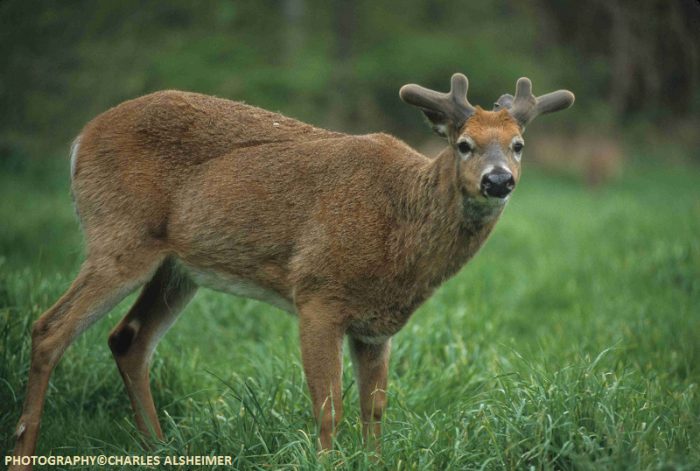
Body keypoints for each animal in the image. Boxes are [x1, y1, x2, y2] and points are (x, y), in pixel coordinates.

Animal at [9, 73, 573, 469]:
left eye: (519, 145)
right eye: (464, 145)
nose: (498, 180)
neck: (400, 228)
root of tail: (81, 138)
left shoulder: (376, 326)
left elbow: (374, 411)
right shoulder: (318, 292)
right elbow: (329, 407)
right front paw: (326, 462)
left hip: (177, 268)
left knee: (128, 339)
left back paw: (160, 450)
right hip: (119, 235)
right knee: (49, 328)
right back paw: (24, 453)